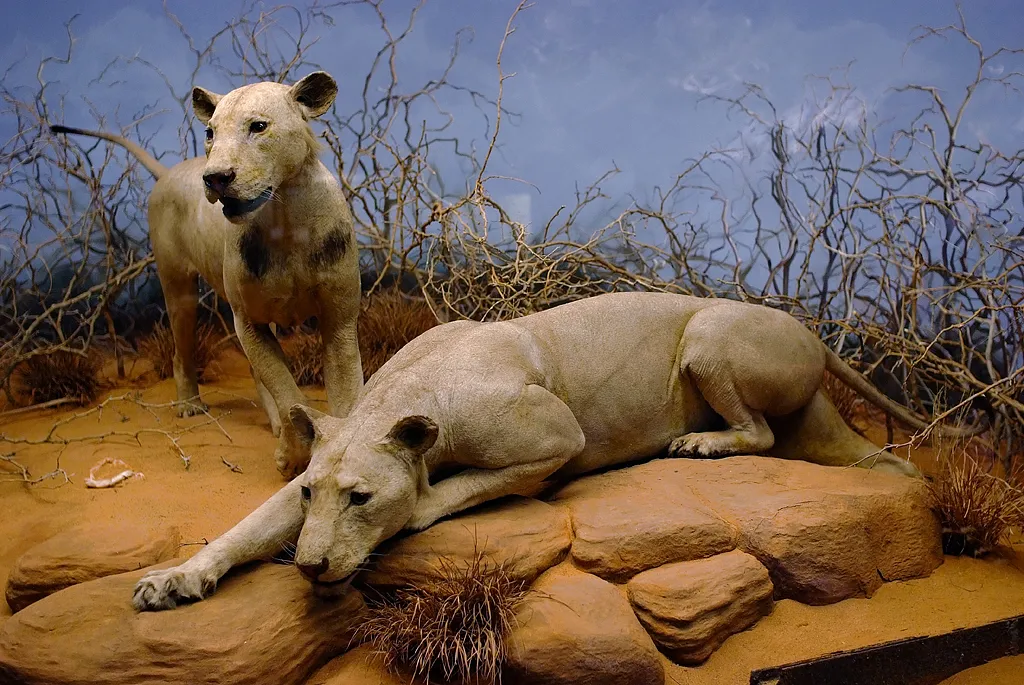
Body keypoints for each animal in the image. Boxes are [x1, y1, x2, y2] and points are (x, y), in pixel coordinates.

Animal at [52, 72, 362, 477]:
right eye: (210, 132)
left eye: (258, 127)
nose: (215, 178)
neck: (286, 218)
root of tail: (170, 171)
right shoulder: (247, 320)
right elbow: (286, 390)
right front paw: (292, 455)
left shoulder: (339, 319)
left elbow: (344, 394)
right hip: (179, 288)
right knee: (182, 351)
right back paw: (190, 405)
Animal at [132, 291, 980, 611]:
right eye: (314, 493)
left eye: (362, 499)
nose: (310, 566)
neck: (402, 397)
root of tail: (812, 331)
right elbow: (243, 528)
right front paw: (174, 579)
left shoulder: (556, 437)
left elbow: (456, 488)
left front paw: (420, 505)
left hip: (711, 334)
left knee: (764, 432)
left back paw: (700, 440)